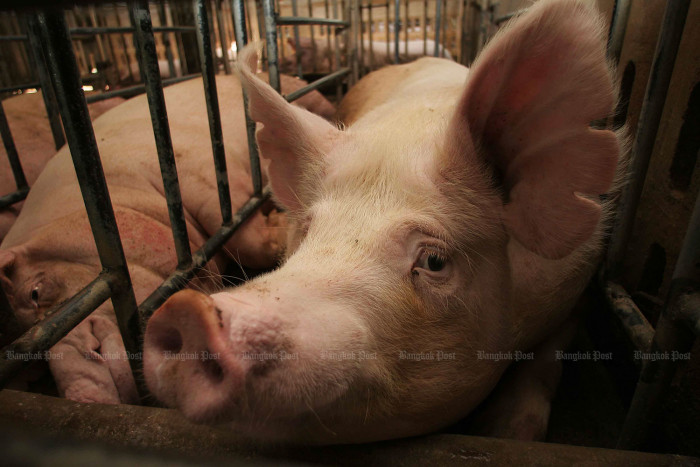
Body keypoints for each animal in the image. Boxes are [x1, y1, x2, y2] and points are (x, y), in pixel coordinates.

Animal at [143, 0, 621, 443]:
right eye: (307, 232)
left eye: (434, 261)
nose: (189, 310)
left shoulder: (577, 282)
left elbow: (546, 360)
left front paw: (506, 433)